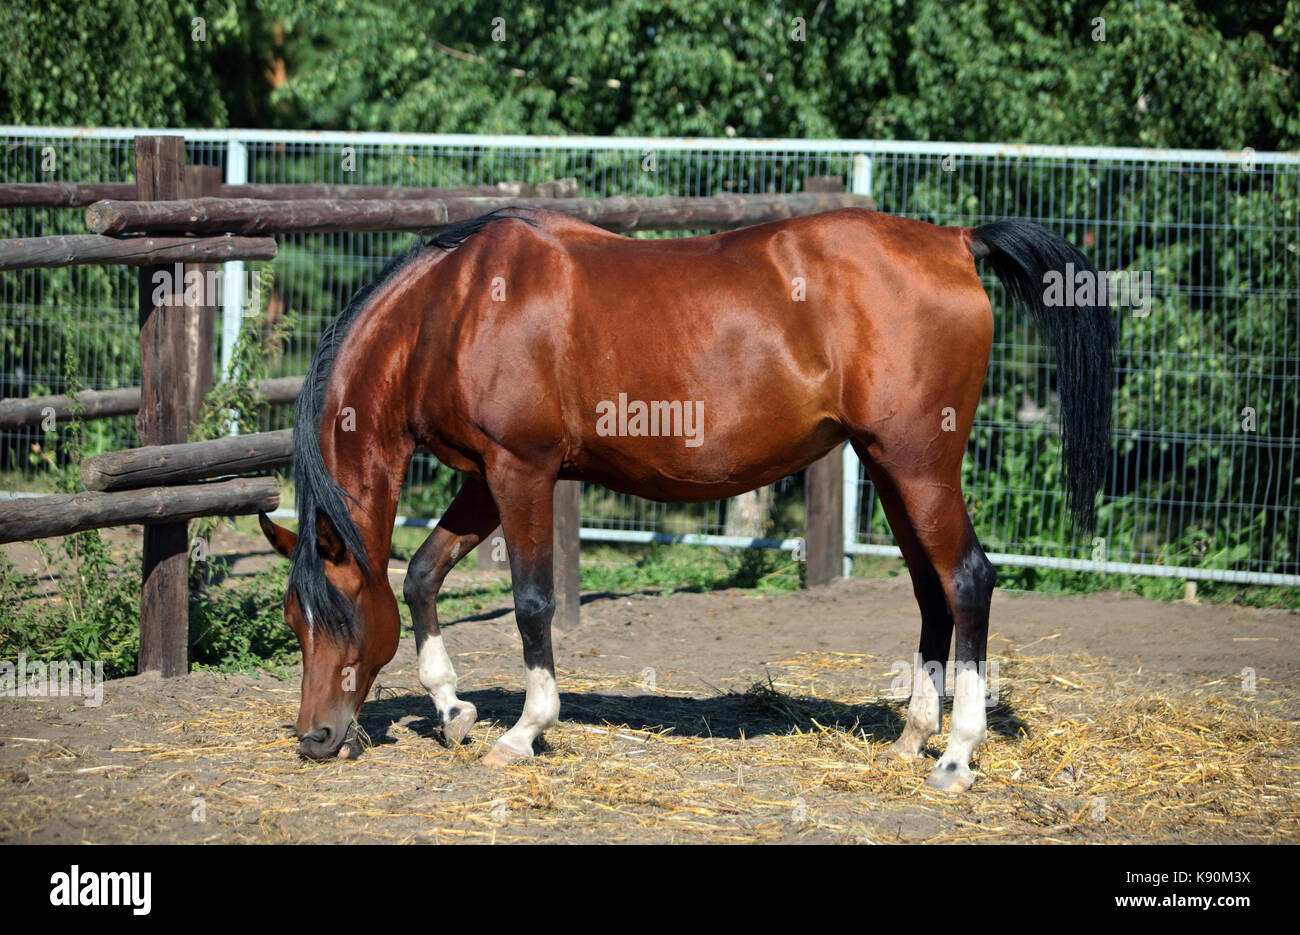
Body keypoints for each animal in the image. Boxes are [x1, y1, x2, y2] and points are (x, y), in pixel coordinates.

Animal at [258, 206, 1114, 793]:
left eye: (336, 613)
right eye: (295, 620)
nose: (315, 736)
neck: (458, 305)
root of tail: (953, 240)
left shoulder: (520, 471)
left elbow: (531, 603)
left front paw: (524, 730)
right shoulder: (481, 478)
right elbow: (421, 576)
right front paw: (452, 710)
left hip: (920, 464)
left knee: (968, 579)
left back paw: (959, 753)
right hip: (891, 466)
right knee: (932, 590)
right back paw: (912, 737)